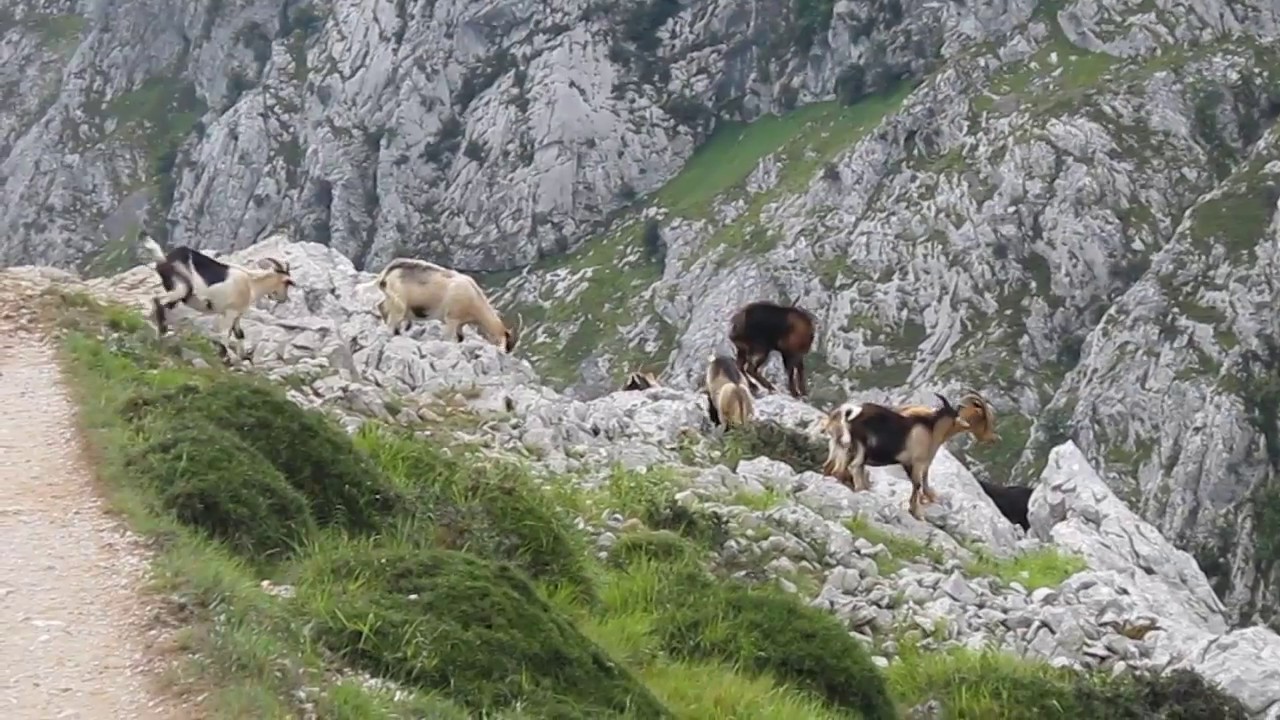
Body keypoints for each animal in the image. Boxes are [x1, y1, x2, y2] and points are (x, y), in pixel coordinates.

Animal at [141, 234, 295, 361]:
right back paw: (160, 331)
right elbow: (224, 334)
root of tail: (165, 259)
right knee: (158, 299)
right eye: (287, 283)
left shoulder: (237, 315)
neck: (251, 284)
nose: (283, 299)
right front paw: (225, 358)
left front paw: (241, 357)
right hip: (182, 288)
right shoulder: (230, 311)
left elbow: (240, 334)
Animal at [373, 258, 522, 353]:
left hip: (391, 299)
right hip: (399, 303)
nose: (506, 352)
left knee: (381, 306)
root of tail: (386, 273)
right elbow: (448, 338)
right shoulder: (452, 319)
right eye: (507, 342)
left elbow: (461, 338)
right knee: (392, 321)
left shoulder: (460, 324)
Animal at [819, 393, 969, 520]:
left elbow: (915, 483)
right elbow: (917, 484)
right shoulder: (917, 462)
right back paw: (861, 490)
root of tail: (847, 415)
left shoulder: (907, 463)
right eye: (955, 415)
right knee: (853, 467)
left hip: (839, 447)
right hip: (860, 448)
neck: (930, 429)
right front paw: (917, 513)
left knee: (831, 467)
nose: (966, 425)